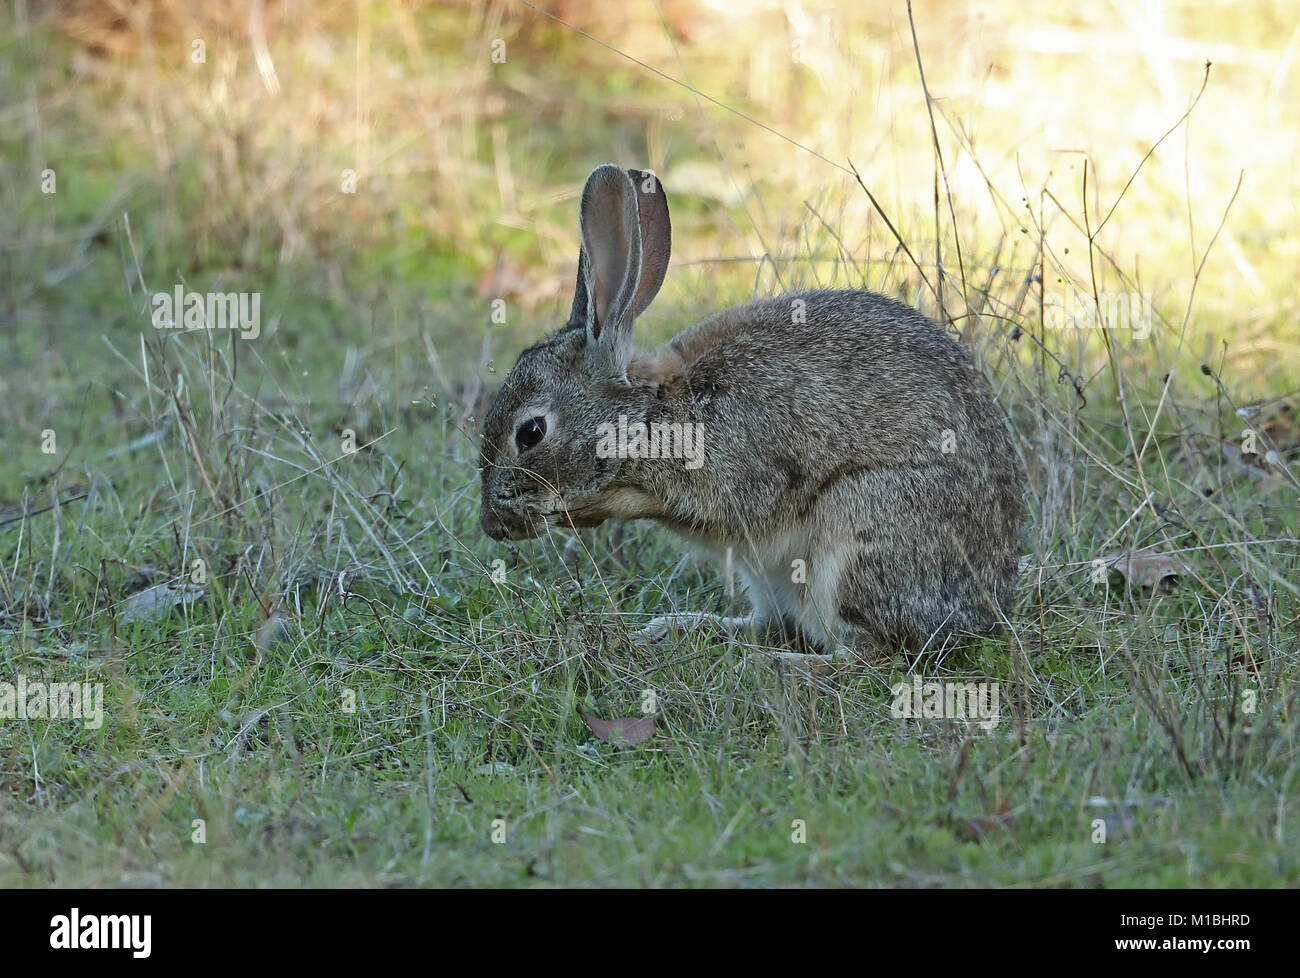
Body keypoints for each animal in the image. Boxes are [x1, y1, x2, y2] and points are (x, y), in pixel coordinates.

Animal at [479, 164, 1025, 655]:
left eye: (530, 433)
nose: (492, 526)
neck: (651, 411)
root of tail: (984, 612)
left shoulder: (742, 474)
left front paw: (584, 507)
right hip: (766, 574)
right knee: (772, 624)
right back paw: (678, 629)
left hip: (858, 528)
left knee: (861, 656)